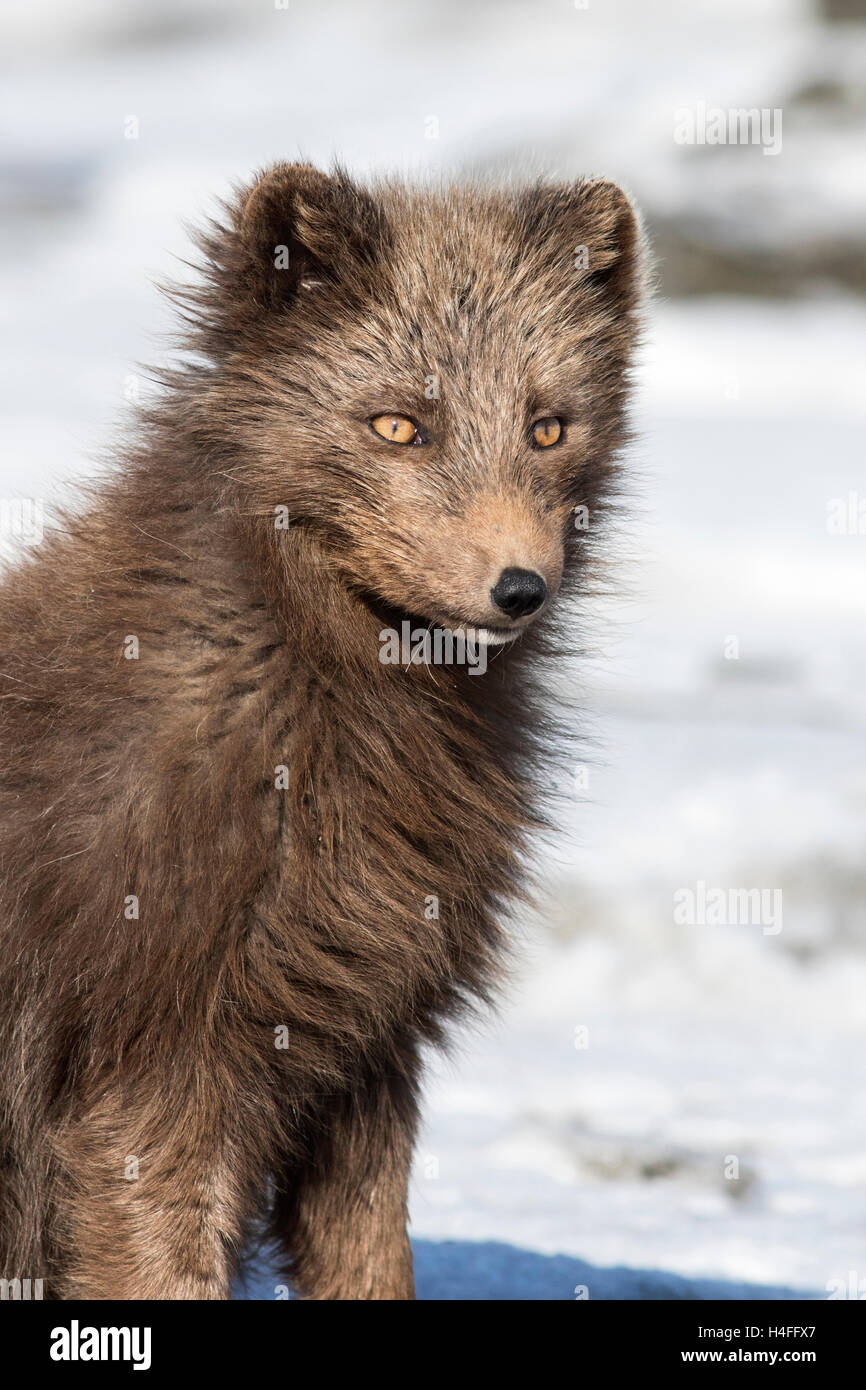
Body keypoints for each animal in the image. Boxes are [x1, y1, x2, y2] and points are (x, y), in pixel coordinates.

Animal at [0, 163, 642, 1299]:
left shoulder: (362, 1055)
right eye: (397, 426)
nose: (518, 588)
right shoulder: (150, 1072)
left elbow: (373, 1262)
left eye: (547, 427)